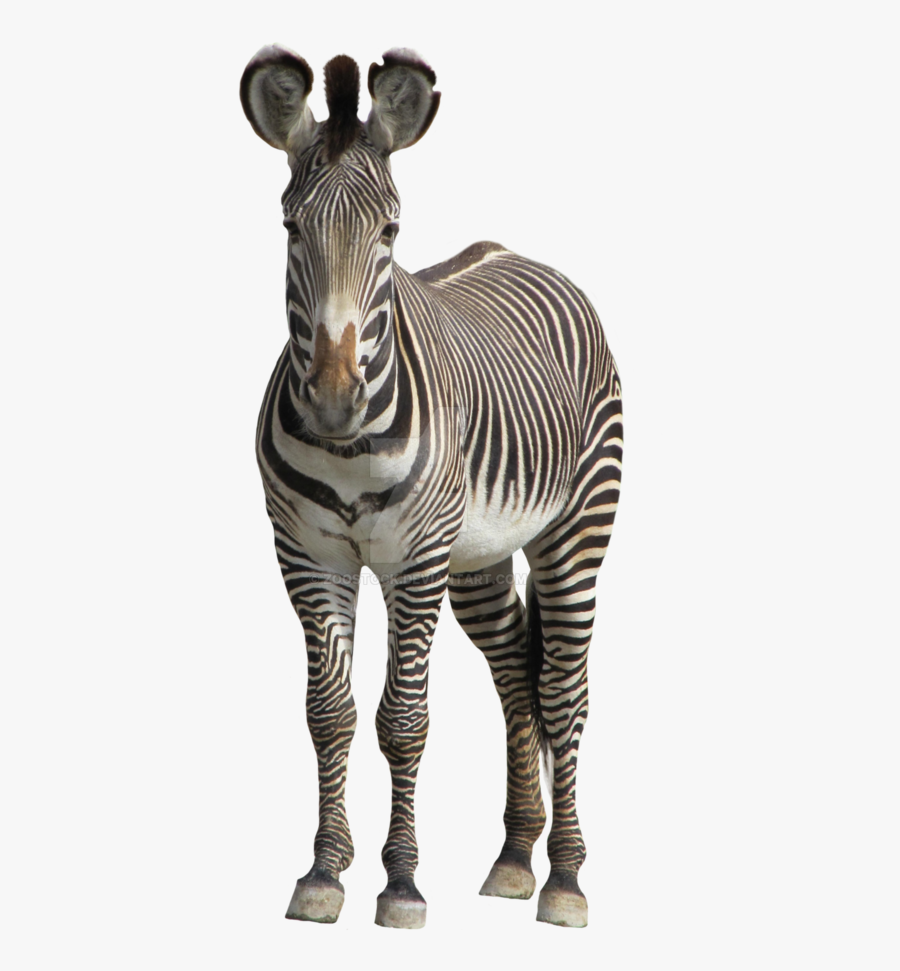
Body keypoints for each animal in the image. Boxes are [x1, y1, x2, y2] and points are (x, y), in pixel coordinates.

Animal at [240, 45, 623, 929]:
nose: (334, 394)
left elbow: (404, 719)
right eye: (290, 227)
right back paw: (515, 858)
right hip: (478, 556)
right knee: (517, 670)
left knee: (564, 689)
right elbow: (331, 713)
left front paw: (403, 882)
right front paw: (324, 872)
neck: (349, 443)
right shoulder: (308, 554)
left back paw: (564, 878)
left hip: (576, 529)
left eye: (390, 231)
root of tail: (517, 251)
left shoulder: (414, 562)